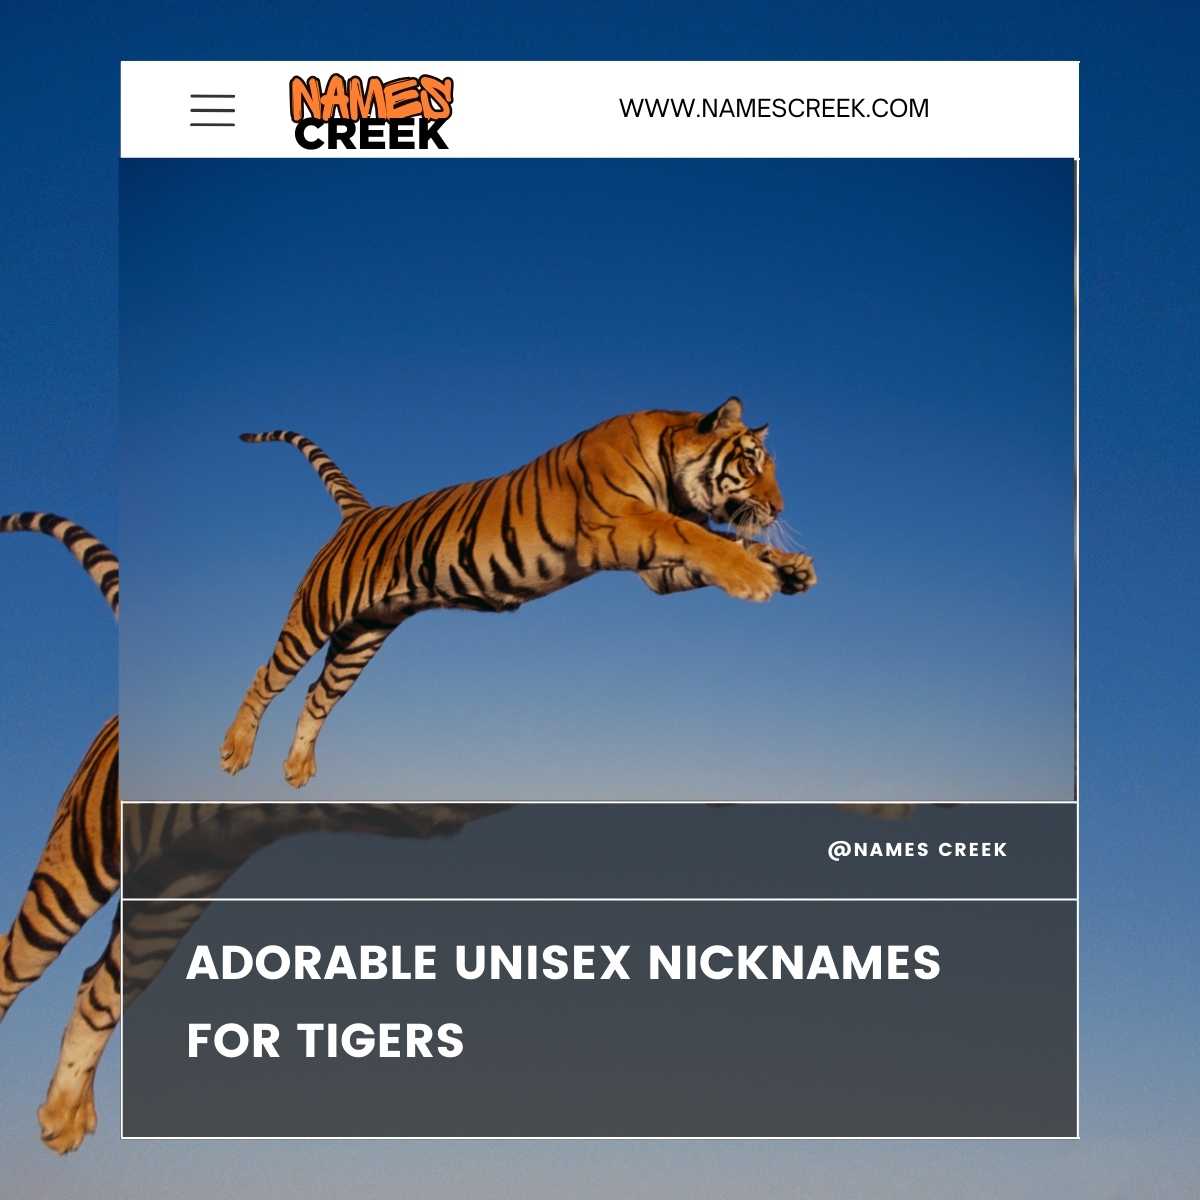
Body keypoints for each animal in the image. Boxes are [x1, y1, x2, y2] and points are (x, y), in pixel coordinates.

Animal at [220, 397, 817, 788]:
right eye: (749, 464)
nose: (779, 509)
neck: (670, 471)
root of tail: (359, 513)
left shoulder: (655, 570)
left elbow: (726, 541)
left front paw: (791, 568)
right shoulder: (623, 526)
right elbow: (702, 537)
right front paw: (755, 578)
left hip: (363, 637)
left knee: (317, 694)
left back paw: (297, 769)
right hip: (315, 614)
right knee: (266, 676)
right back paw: (235, 750)